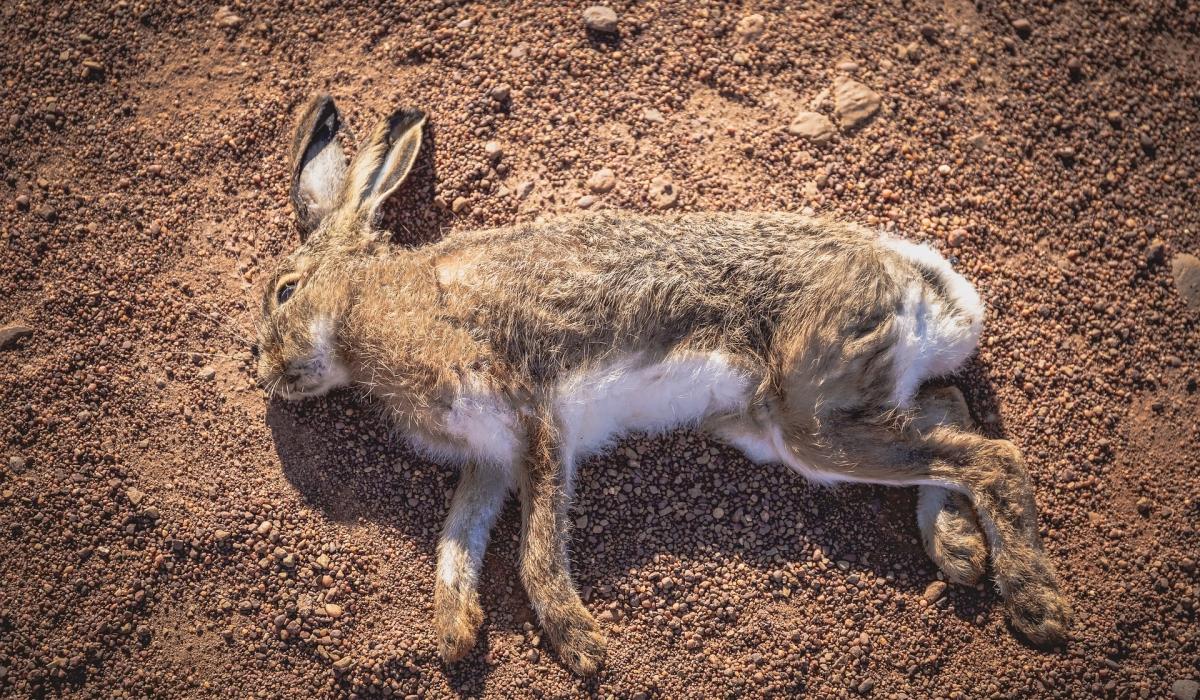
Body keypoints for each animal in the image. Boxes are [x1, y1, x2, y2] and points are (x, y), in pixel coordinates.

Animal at [255, 95, 1071, 675]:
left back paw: (1036, 606)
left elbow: (534, 551)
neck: (370, 306)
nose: (265, 371)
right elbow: (457, 541)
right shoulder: (488, 459)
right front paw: (455, 634)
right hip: (791, 423)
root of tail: (920, 280)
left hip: (812, 413)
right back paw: (957, 546)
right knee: (947, 408)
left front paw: (581, 645)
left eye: (284, 292)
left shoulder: (534, 419)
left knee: (992, 458)